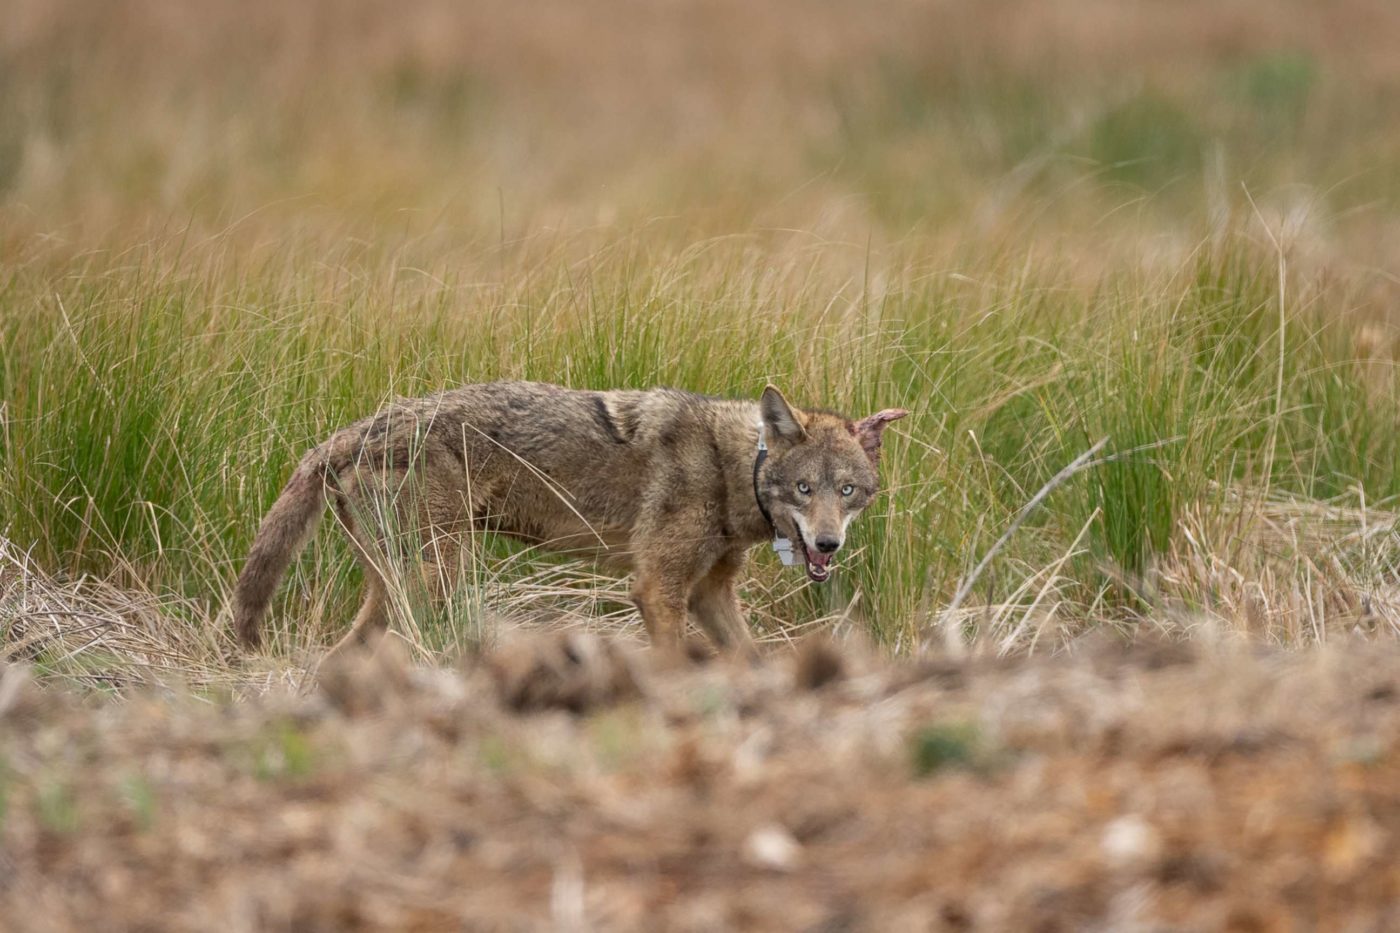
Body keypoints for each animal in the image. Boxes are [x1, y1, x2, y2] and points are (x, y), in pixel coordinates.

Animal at [230, 382, 906, 653]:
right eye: (803, 488)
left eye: (848, 491)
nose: (828, 544)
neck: (730, 467)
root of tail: (351, 433)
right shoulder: (656, 588)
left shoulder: (710, 595)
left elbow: (752, 657)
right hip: (437, 579)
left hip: (395, 590)